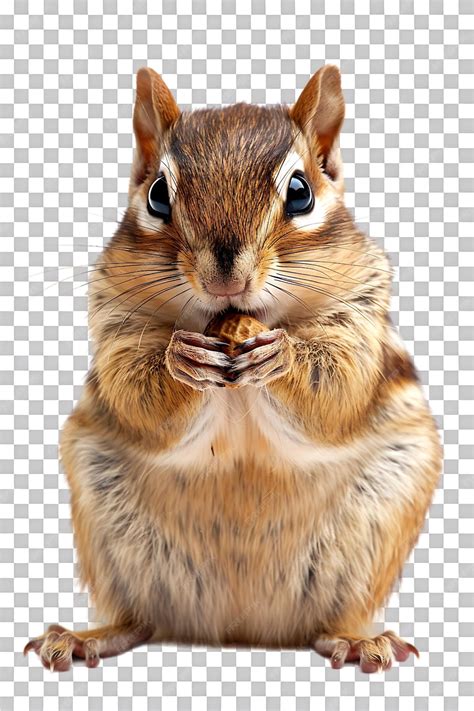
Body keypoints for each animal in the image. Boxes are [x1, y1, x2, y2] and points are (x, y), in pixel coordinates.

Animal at [25, 65, 442, 673]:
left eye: (300, 192)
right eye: (157, 195)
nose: (226, 277)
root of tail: (243, 627)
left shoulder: (359, 322)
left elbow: (337, 385)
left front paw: (280, 353)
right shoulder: (116, 326)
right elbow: (134, 388)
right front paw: (181, 358)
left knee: (330, 621)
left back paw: (357, 641)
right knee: (139, 617)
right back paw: (89, 637)